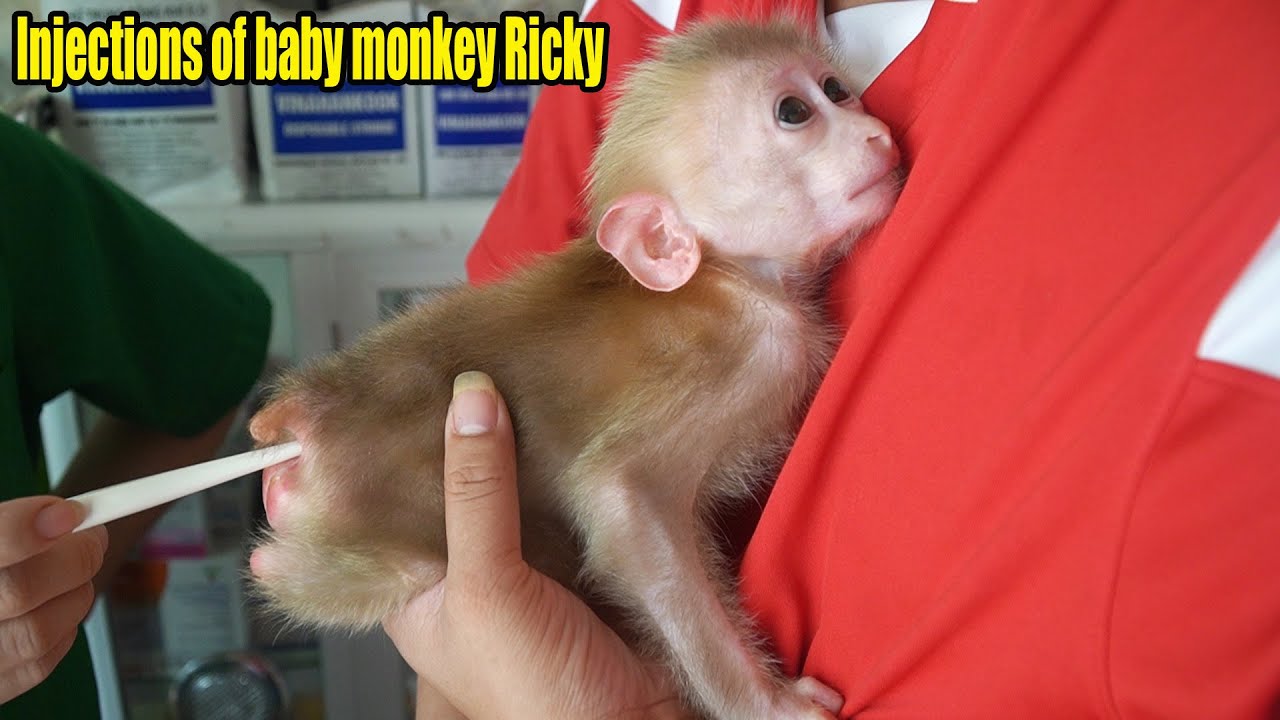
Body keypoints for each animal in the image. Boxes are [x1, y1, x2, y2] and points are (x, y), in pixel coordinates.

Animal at [247, 17, 902, 720]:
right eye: (793, 112)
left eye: (835, 89)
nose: (876, 133)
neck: (726, 274)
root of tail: (312, 422)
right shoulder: (755, 350)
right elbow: (619, 494)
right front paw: (764, 702)